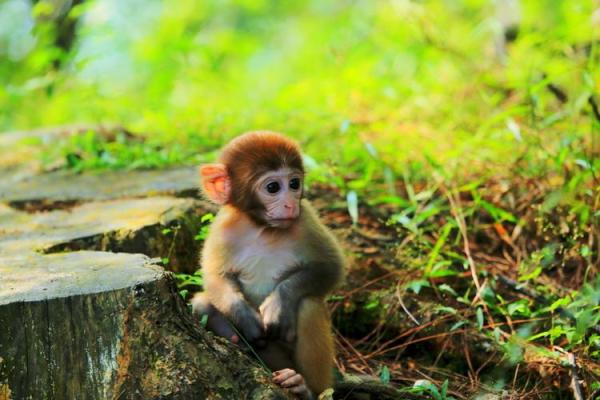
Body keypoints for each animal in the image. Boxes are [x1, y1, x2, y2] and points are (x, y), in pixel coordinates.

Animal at [190, 130, 344, 396]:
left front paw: (279, 303)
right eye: (273, 187)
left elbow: (329, 267)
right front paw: (244, 317)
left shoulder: (305, 220)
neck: (262, 228)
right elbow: (214, 276)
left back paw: (304, 387)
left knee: (308, 306)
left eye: (294, 184)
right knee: (201, 304)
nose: (290, 204)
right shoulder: (223, 229)